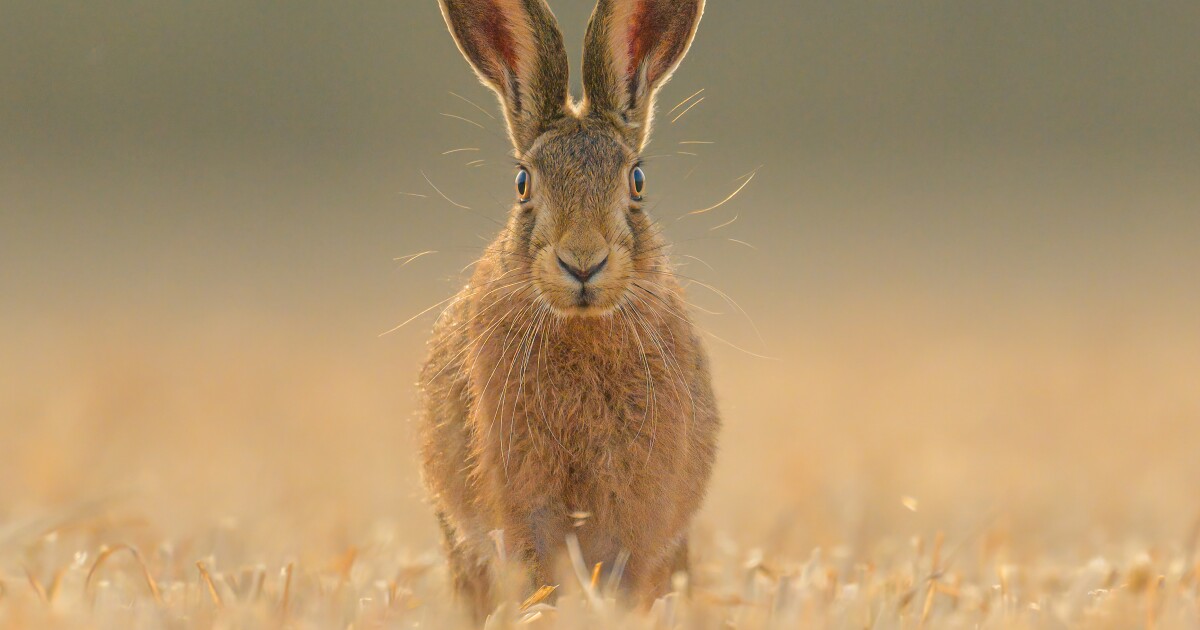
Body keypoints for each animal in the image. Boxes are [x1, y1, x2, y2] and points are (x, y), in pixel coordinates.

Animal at [420, 0, 718, 617]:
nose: (582, 262)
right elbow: (536, 565)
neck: (580, 327)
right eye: (522, 182)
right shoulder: (518, 487)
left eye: (637, 180)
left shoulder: (639, 495)